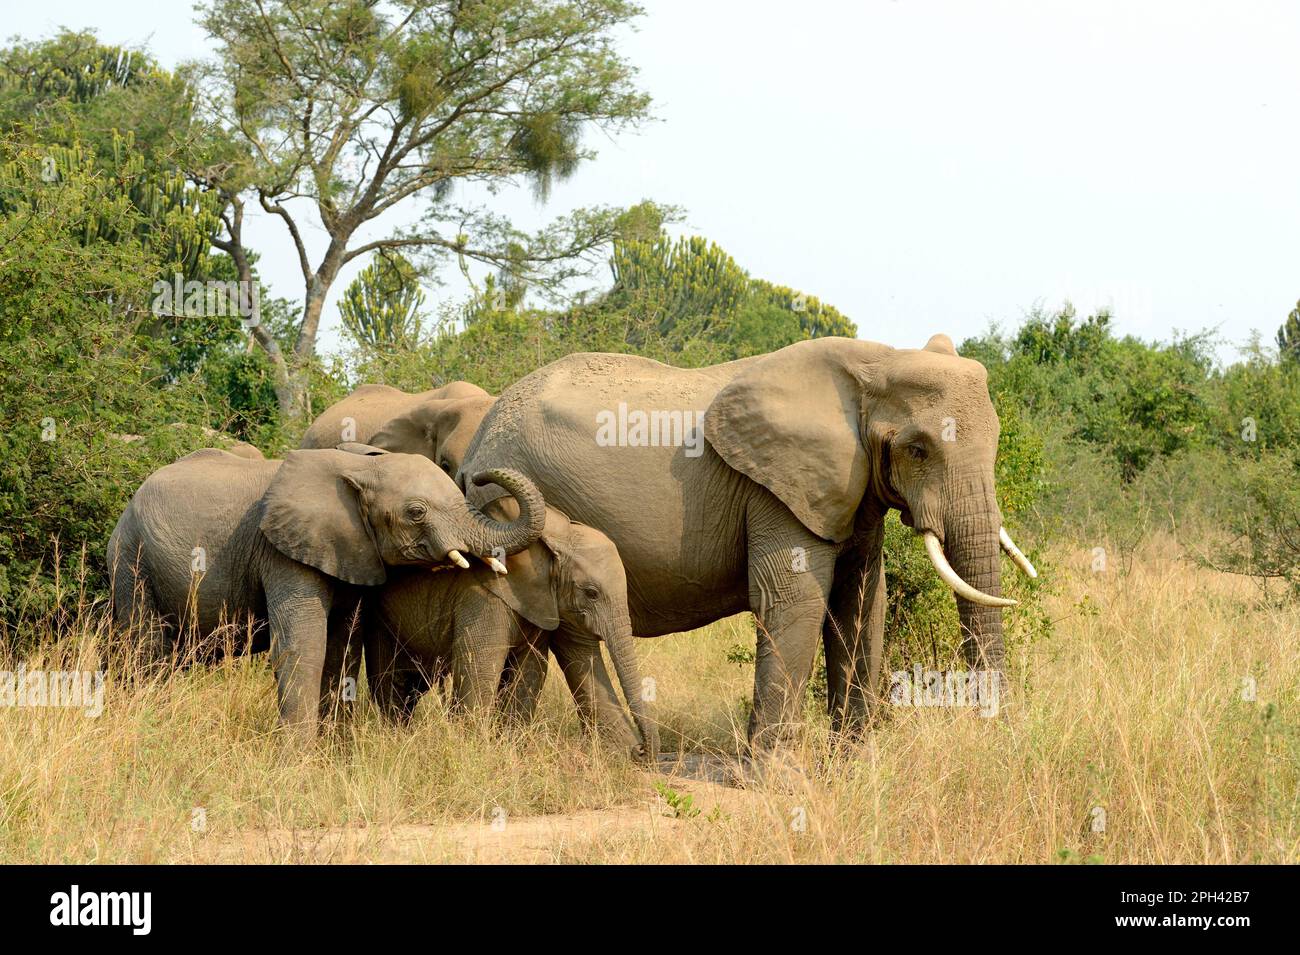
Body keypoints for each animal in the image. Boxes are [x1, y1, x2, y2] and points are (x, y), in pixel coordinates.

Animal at [107, 445, 545, 736]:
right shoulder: (282, 550)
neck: (360, 466)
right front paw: (297, 760)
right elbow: (306, 646)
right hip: (131, 559)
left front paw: (336, 749)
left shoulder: (350, 551)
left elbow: (342, 648)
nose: (480, 475)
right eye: (416, 512)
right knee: (145, 650)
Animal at [364, 499, 658, 760]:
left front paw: (510, 748)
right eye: (591, 593)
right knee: (390, 682)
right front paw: (476, 752)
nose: (642, 750)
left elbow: (532, 671)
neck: (555, 538)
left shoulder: (543, 605)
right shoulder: (484, 598)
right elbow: (481, 667)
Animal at [458, 335, 1038, 751]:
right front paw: (774, 775)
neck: (876, 360)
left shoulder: (850, 489)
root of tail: (476, 447)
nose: (998, 738)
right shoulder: (775, 491)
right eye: (917, 450)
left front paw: (853, 763)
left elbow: (860, 605)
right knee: (560, 632)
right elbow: (795, 599)